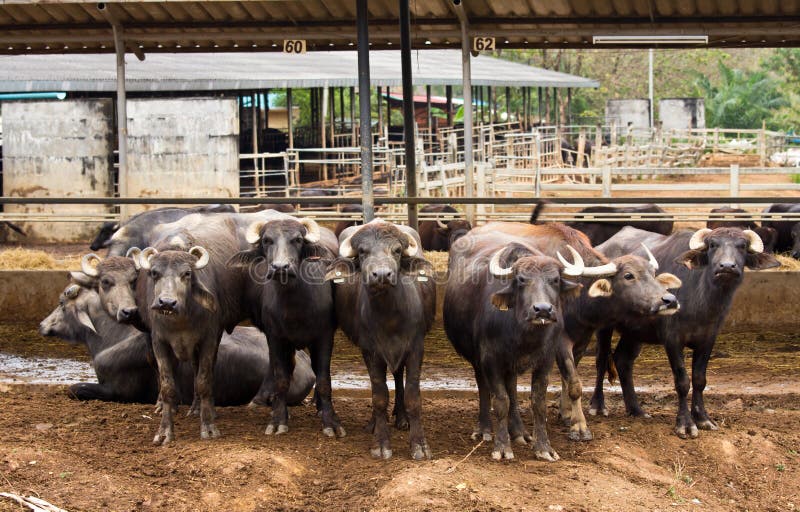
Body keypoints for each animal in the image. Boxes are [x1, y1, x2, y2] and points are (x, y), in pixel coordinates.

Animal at [326, 220, 436, 460]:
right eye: (363, 252)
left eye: (397, 250)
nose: (382, 275)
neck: (390, 318)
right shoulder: (371, 352)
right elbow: (379, 396)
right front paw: (381, 443)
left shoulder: (416, 348)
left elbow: (413, 395)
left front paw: (420, 445)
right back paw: (375, 423)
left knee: (398, 377)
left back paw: (402, 418)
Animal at [593, 227, 779, 437]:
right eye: (712, 245)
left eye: (743, 246)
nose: (727, 266)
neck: (703, 303)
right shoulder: (672, 339)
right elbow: (682, 381)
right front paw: (685, 424)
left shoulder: (708, 339)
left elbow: (699, 379)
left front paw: (703, 418)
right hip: (603, 325)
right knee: (601, 360)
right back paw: (598, 406)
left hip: (635, 331)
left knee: (623, 359)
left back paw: (636, 410)